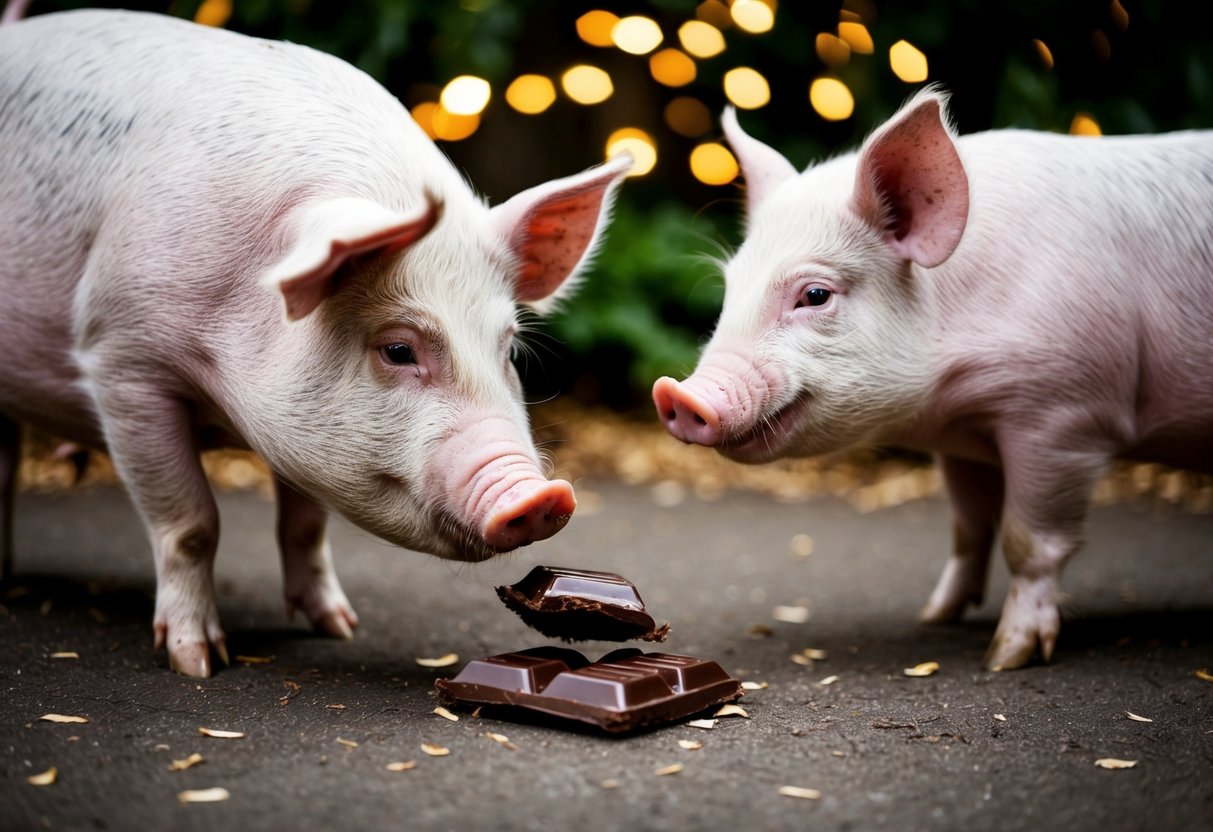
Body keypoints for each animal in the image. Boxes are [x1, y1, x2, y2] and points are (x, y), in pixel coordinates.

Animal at [0, 9, 632, 677]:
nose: (541, 494)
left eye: (508, 350)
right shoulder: (120, 358)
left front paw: (339, 628)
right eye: (398, 350)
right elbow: (190, 522)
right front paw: (198, 662)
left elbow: (305, 525)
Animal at [653, 88, 1213, 670]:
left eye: (815, 294)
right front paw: (935, 616)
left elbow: (1028, 541)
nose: (678, 393)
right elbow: (968, 529)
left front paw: (1005, 656)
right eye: (730, 287)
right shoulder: (964, 441)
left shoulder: (1066, 416)